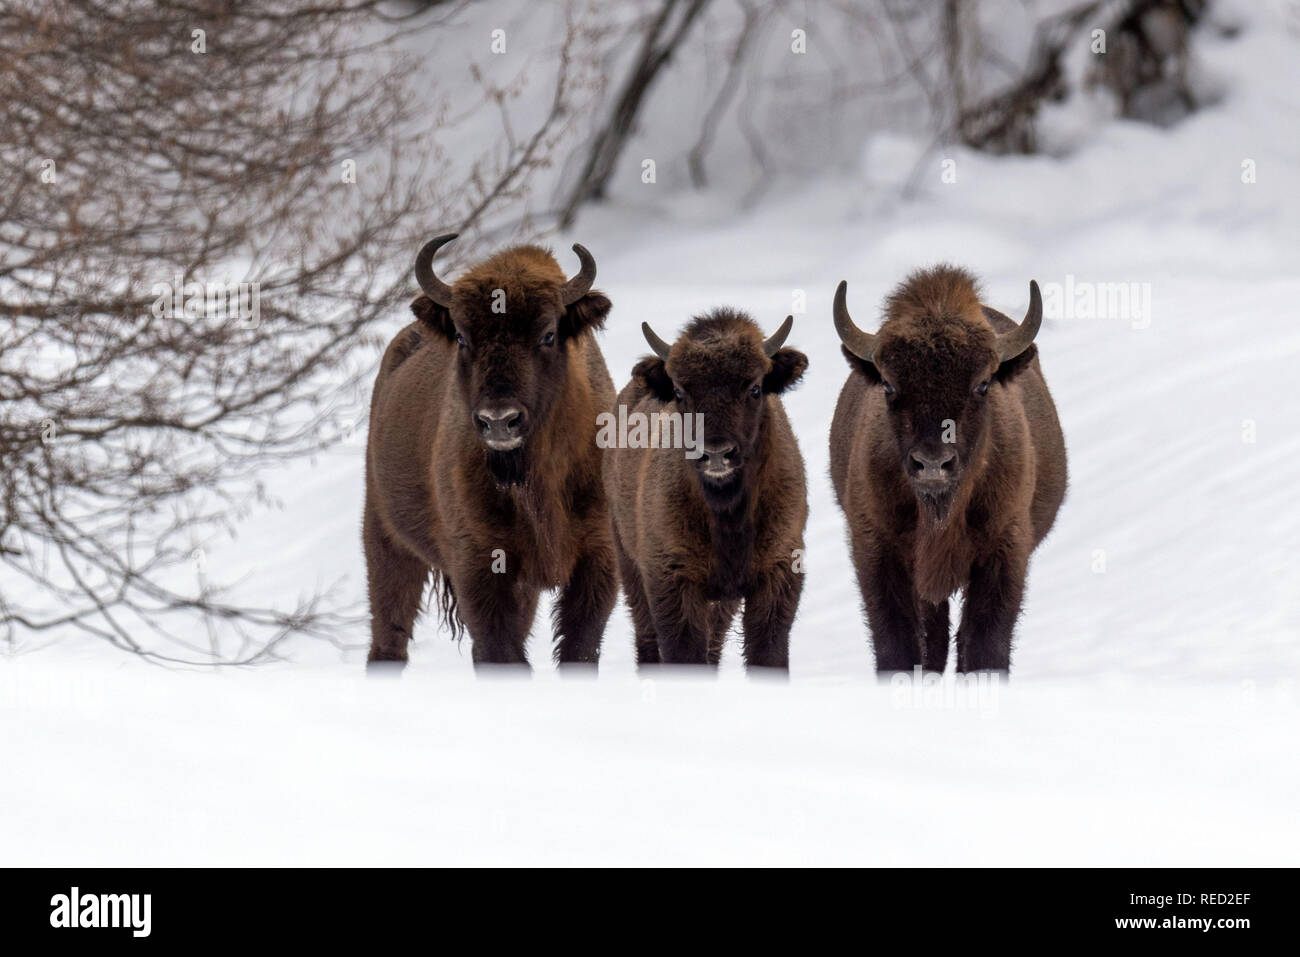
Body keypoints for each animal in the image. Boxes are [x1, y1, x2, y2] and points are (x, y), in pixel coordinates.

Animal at [363, 234, 617, 668]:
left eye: (548, 334)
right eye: (463, 337)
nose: (499, 420)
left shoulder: (597, 558)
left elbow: (579, 648)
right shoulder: (480, 567)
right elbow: (500, 651)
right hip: (386, 540)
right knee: (389, 636)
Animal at [605, 308, 809, 669]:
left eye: (755, 388)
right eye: (680, 391)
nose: (715, 452)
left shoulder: (777, 574)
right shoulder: (672, 582)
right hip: (630, 567)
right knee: (647, 641)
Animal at [829, 266, 1067, 674]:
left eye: (983, 384)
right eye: (888, 385)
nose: (932, 463)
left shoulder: (1004, 550)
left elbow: (985, 645)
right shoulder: (877, 550)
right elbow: (899, 647)